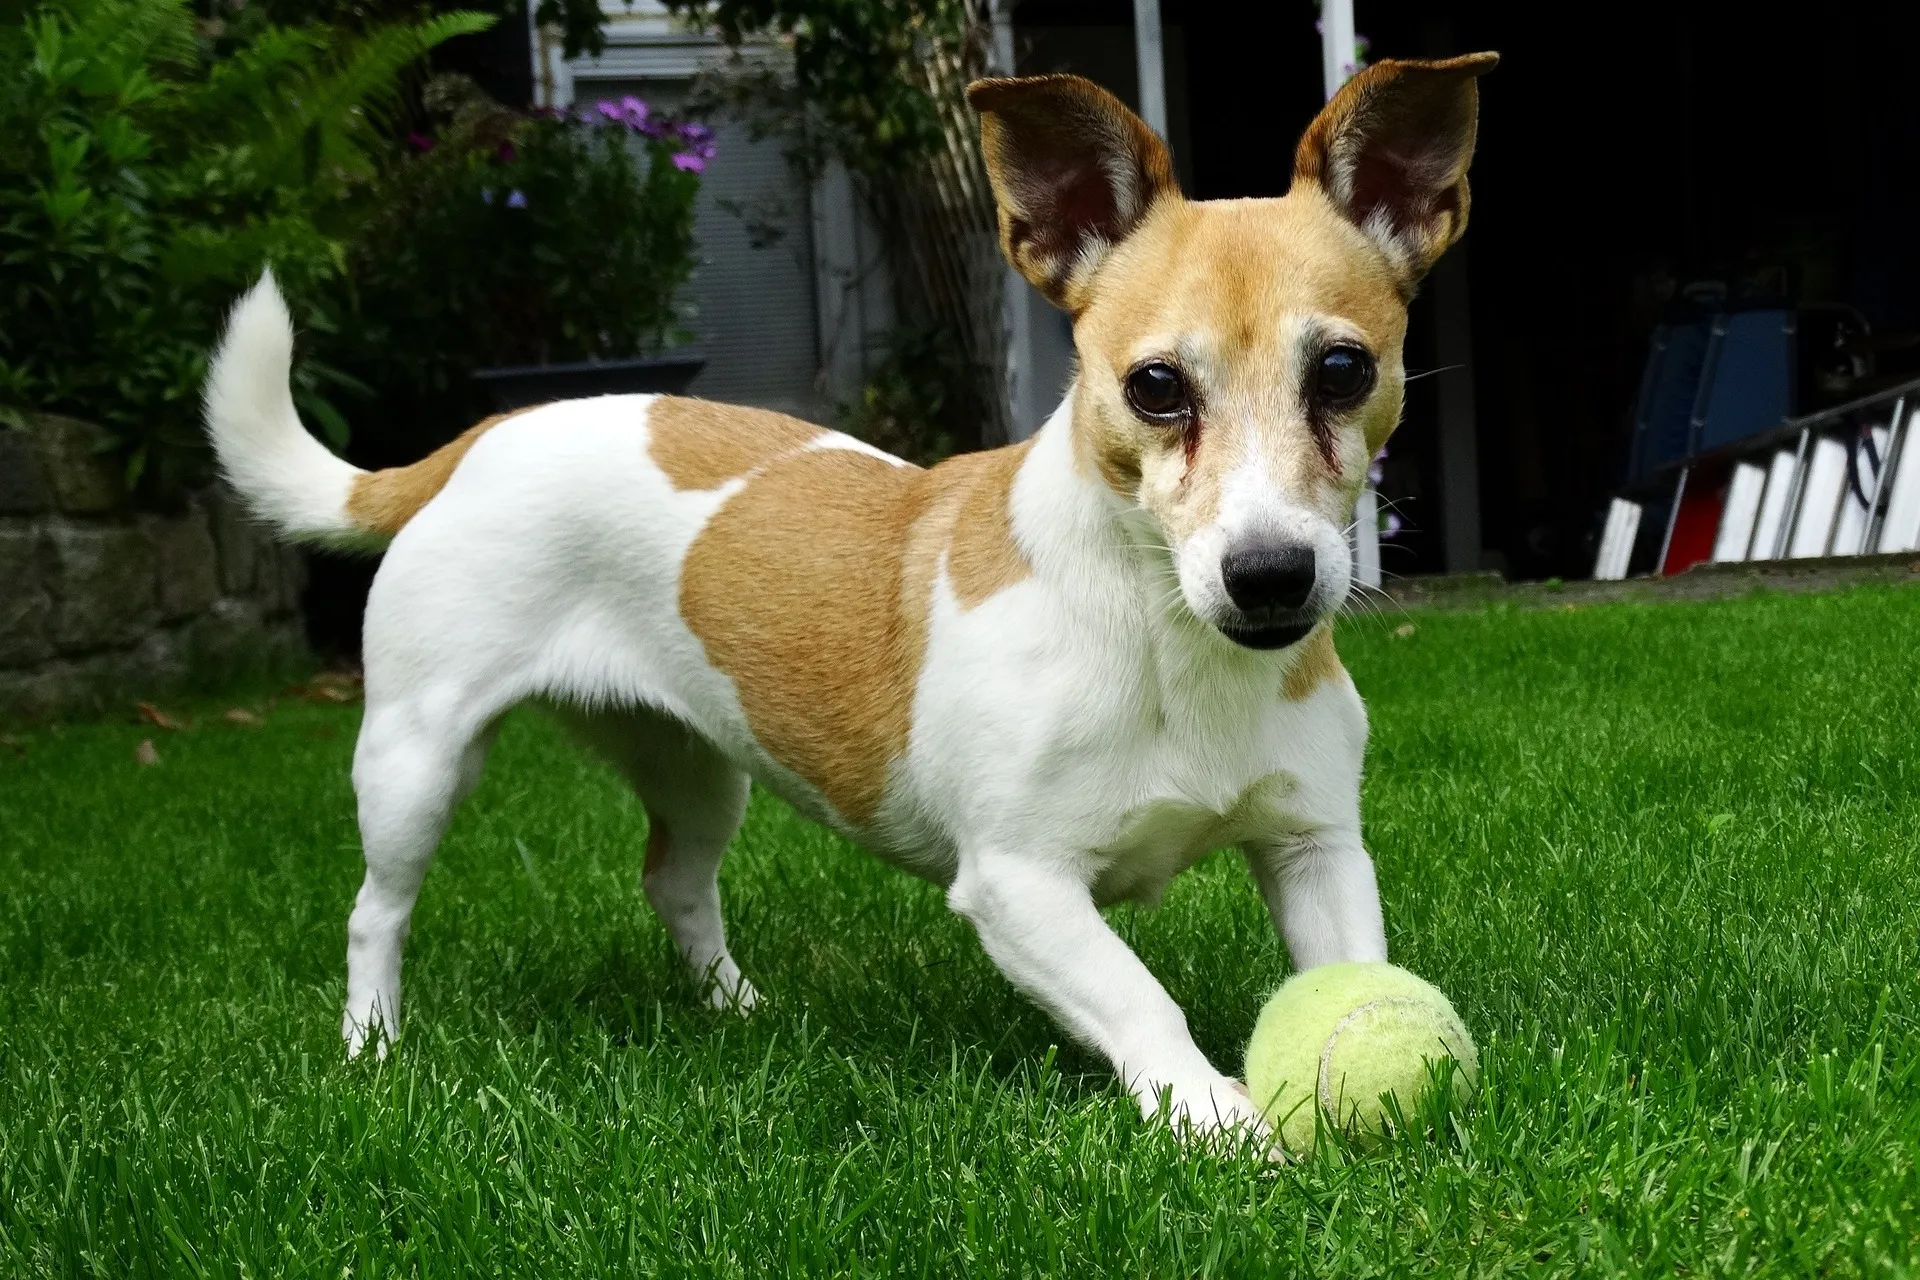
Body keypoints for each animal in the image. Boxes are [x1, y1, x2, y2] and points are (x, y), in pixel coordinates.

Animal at [210, 52, 1497, 1143]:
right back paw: (373, 1047)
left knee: (675, 881)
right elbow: (1142, 998)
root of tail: (486, 433)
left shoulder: (1315, 847)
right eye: (1155, 387)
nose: (1271, 573)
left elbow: (1356, 967)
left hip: (696, 764)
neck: (1168, 640)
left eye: (1345, 369)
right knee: (376, 911)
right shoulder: (1019, 886)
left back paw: (737, 1007)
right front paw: (1220, 1118)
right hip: (416, 760)